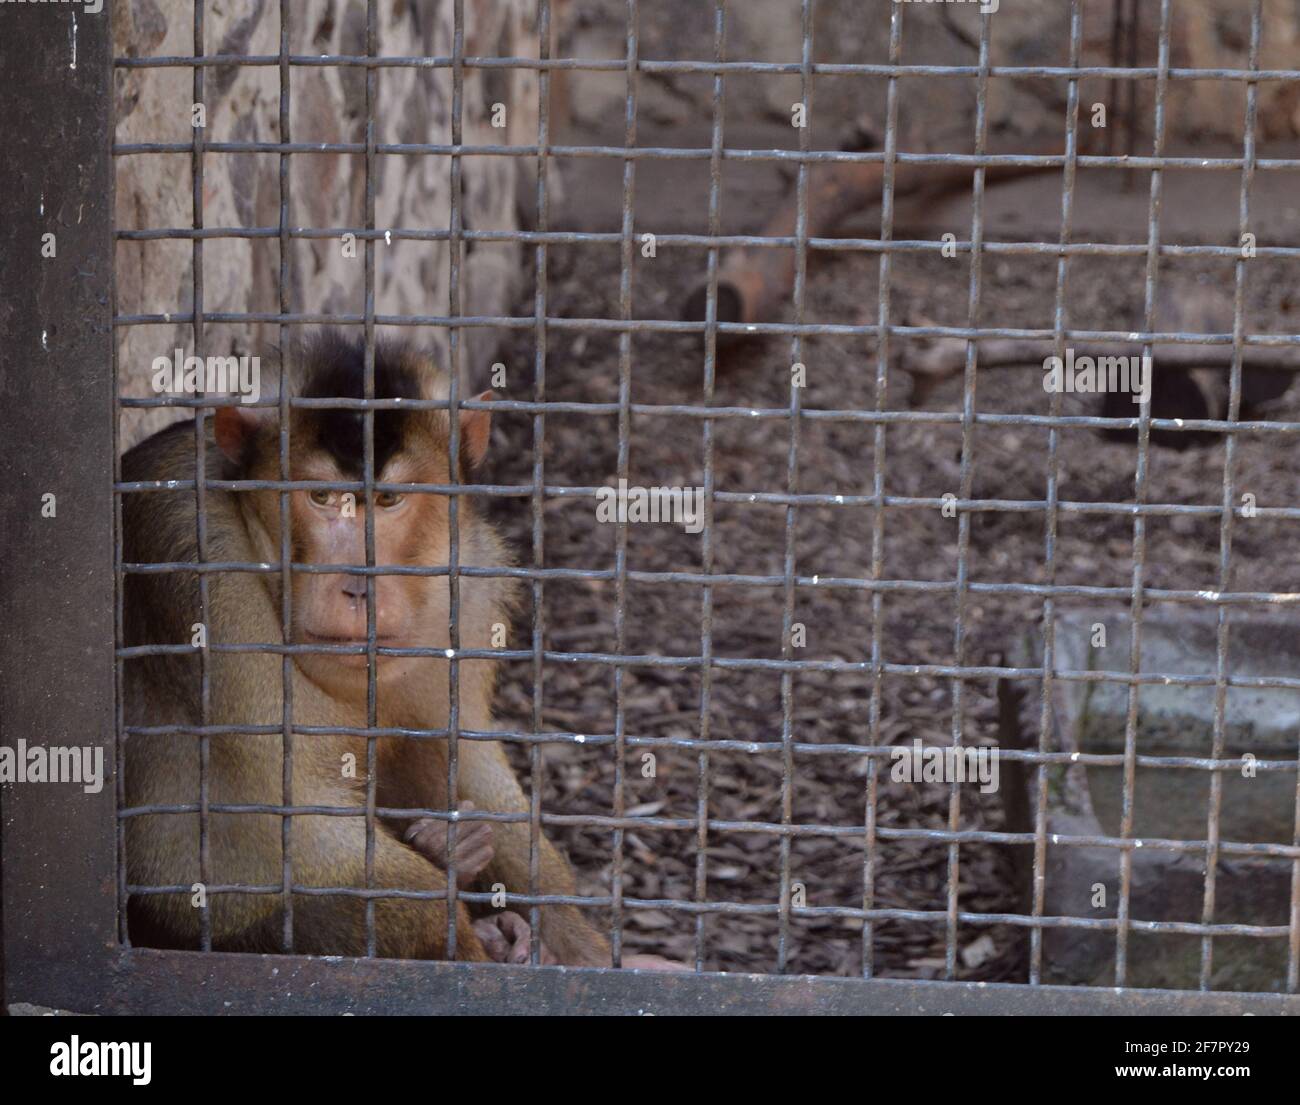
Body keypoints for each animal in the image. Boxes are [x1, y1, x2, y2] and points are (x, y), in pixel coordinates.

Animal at [122, 330, 675, 967]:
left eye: (387, 501)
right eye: (322, 497)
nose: (362, 583)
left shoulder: (468, 587)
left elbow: (463, 760)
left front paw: (574, 945)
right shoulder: (198, 564)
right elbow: (304, 820)